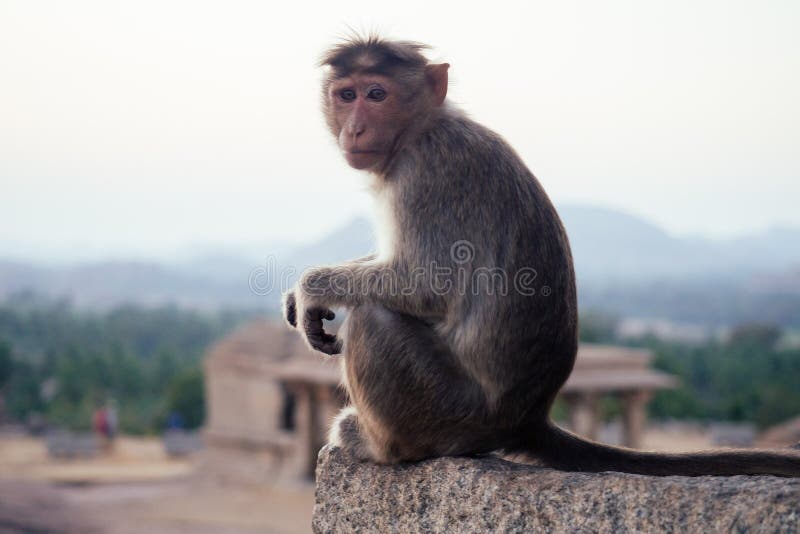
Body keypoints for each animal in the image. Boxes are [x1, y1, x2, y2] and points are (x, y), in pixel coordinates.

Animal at [282, 35, 800, 477]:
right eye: (346, 95)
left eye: (377, 93)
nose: (354, 127)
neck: (421, 129)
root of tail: (525, 420)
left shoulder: (428, 172)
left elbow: (428, 284)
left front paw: (311, 289)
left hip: (448, 410)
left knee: (375, 318)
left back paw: (381, 446)